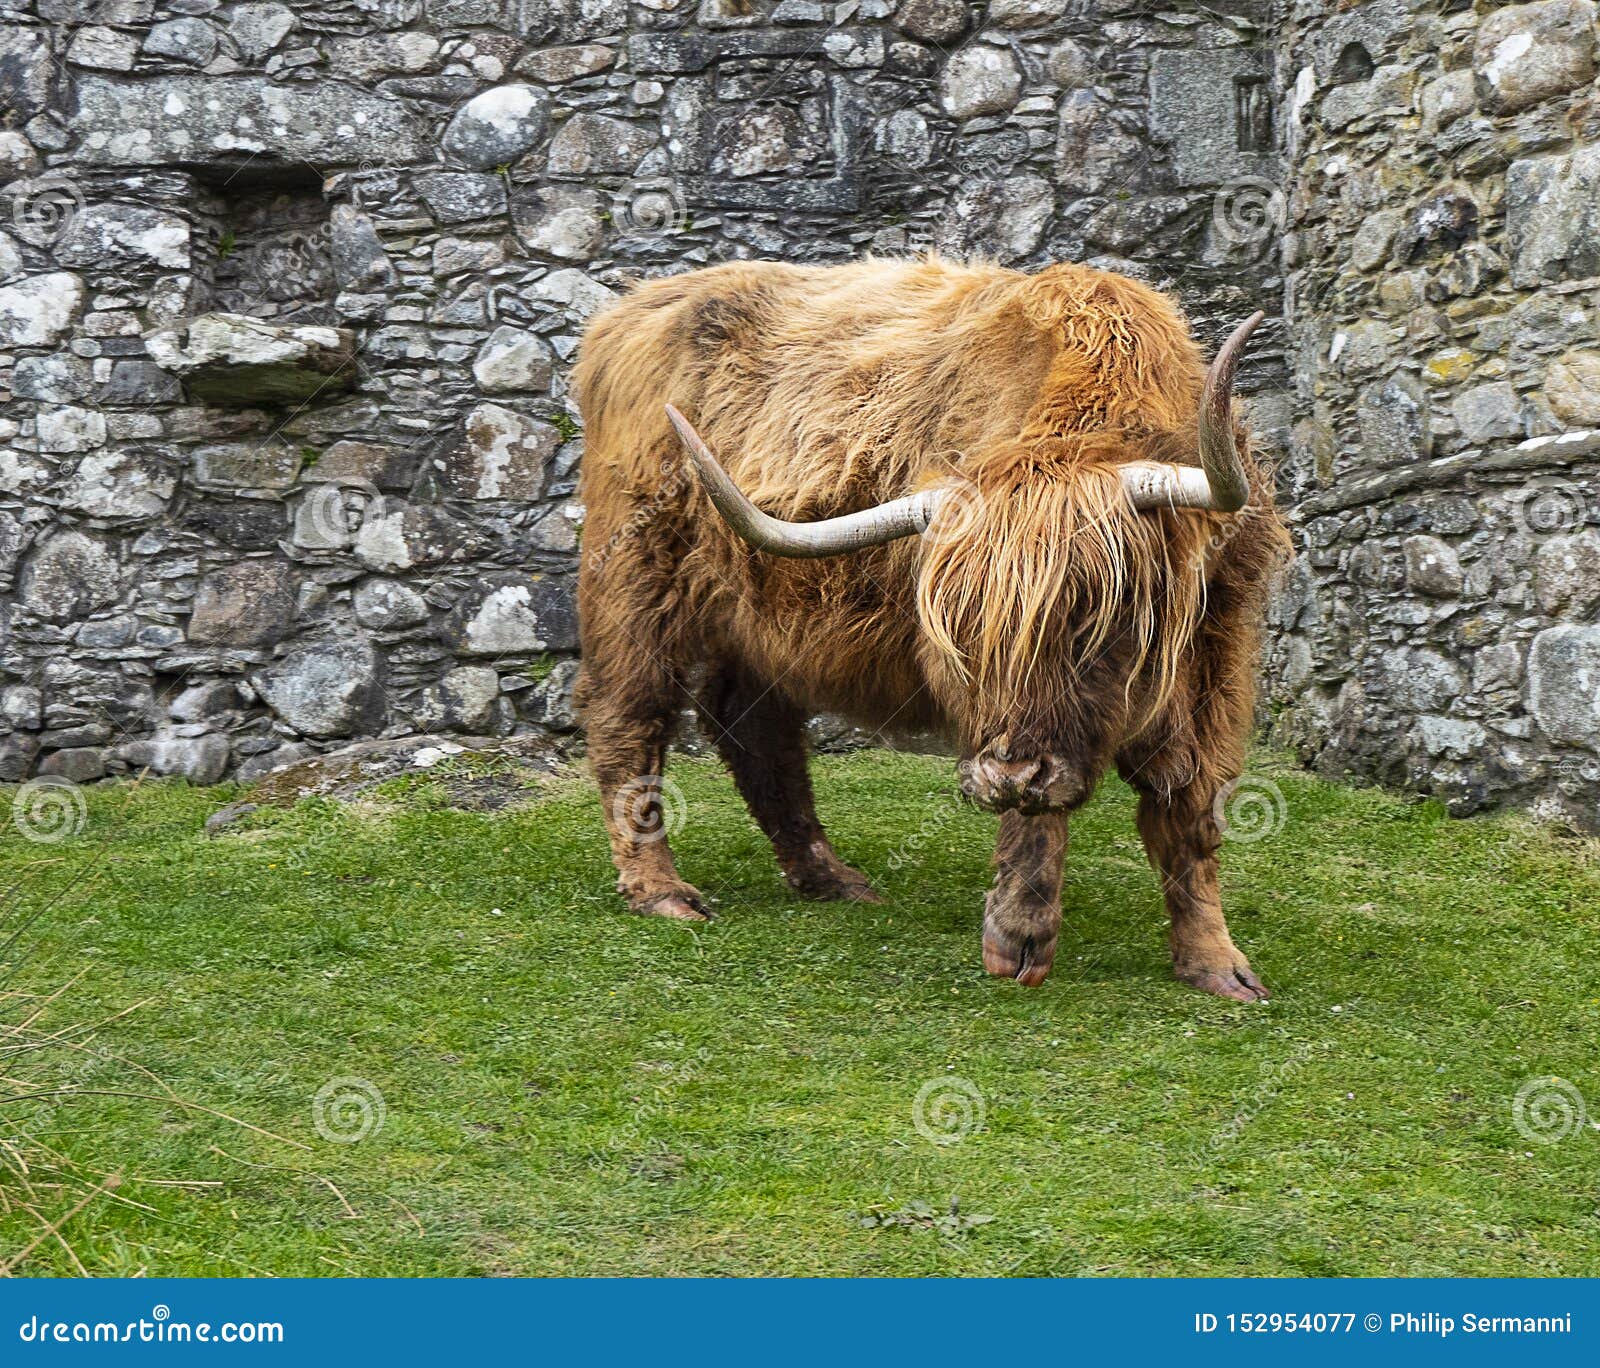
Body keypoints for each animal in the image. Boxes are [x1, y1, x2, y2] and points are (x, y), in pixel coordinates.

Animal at [573, 255, 1289, 1001]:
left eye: (1091, 618)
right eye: (963, 634)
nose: (1009, 772)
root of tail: (628, 313)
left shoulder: (1218, 654)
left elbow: (1190, 807)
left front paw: (1218, 965)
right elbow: (1041, 820)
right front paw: (1017, 943)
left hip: (755, 619)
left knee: (753, 727)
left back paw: (831, 878)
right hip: (635, 580)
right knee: (629, 714)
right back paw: (662, 890)